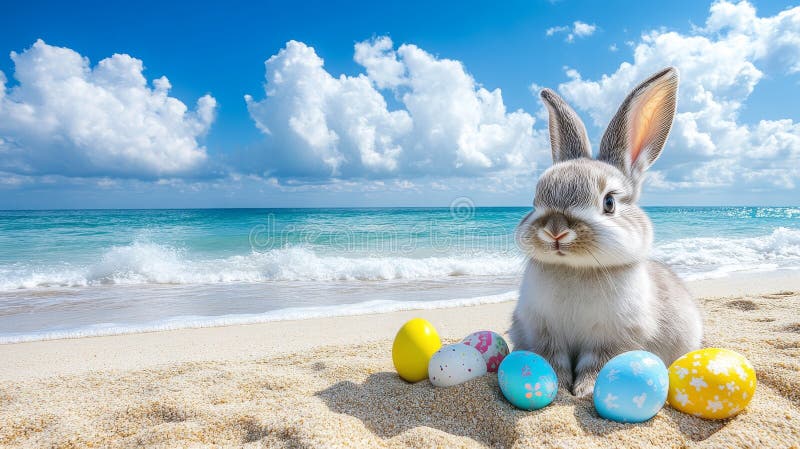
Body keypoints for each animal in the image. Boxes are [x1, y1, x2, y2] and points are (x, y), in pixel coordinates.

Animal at [509, 67, 703, 397]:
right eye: (535, 201)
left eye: (609, 203)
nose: (556, 231)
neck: (576, 270)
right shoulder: (544, 333)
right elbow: (553, 360)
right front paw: (558, 385)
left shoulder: (613, 339)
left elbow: (597, 363)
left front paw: (585, 390)